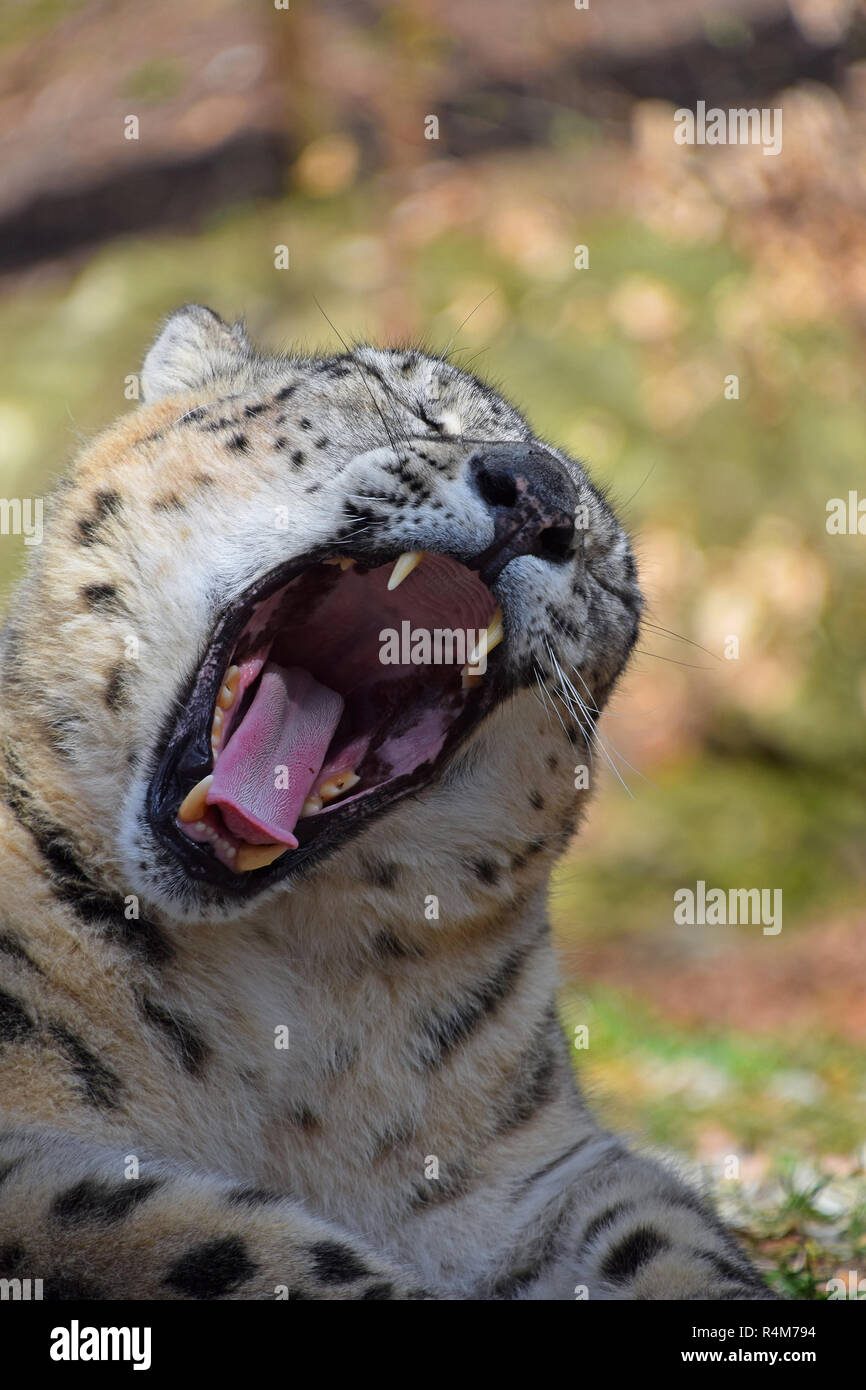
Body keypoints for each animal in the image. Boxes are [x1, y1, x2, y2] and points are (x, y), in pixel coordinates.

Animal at [0, 304, 776, 1300]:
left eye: (608, 571)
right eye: (406, 400)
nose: (538, 494)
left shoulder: (537, 1170)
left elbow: (673, 1239)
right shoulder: (33, 1164)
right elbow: (219, 1241)